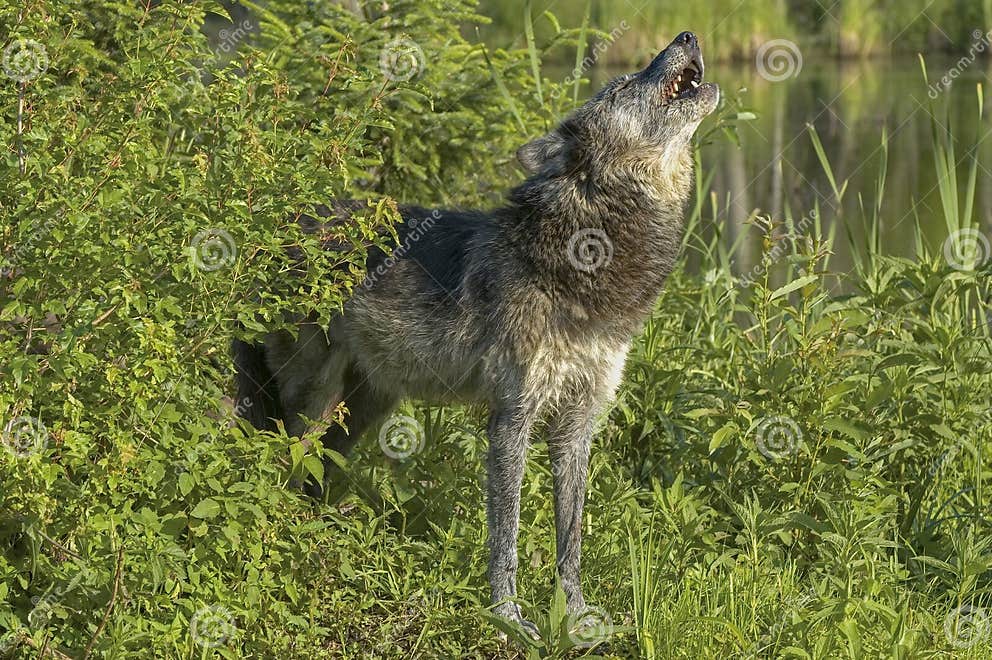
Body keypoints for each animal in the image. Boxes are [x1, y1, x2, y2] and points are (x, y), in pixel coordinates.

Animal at [233, 31, 719, 637]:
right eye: (622, 85)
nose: (687, 36)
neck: (588, 253)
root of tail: (277, 233)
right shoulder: (513, 417)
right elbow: (505, 534)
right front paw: (508, 617)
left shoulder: (578, 422)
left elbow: (571, 539)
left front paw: (577, 615)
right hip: (314, 399)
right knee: (284, 462)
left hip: (363, 408)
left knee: (320, 471)